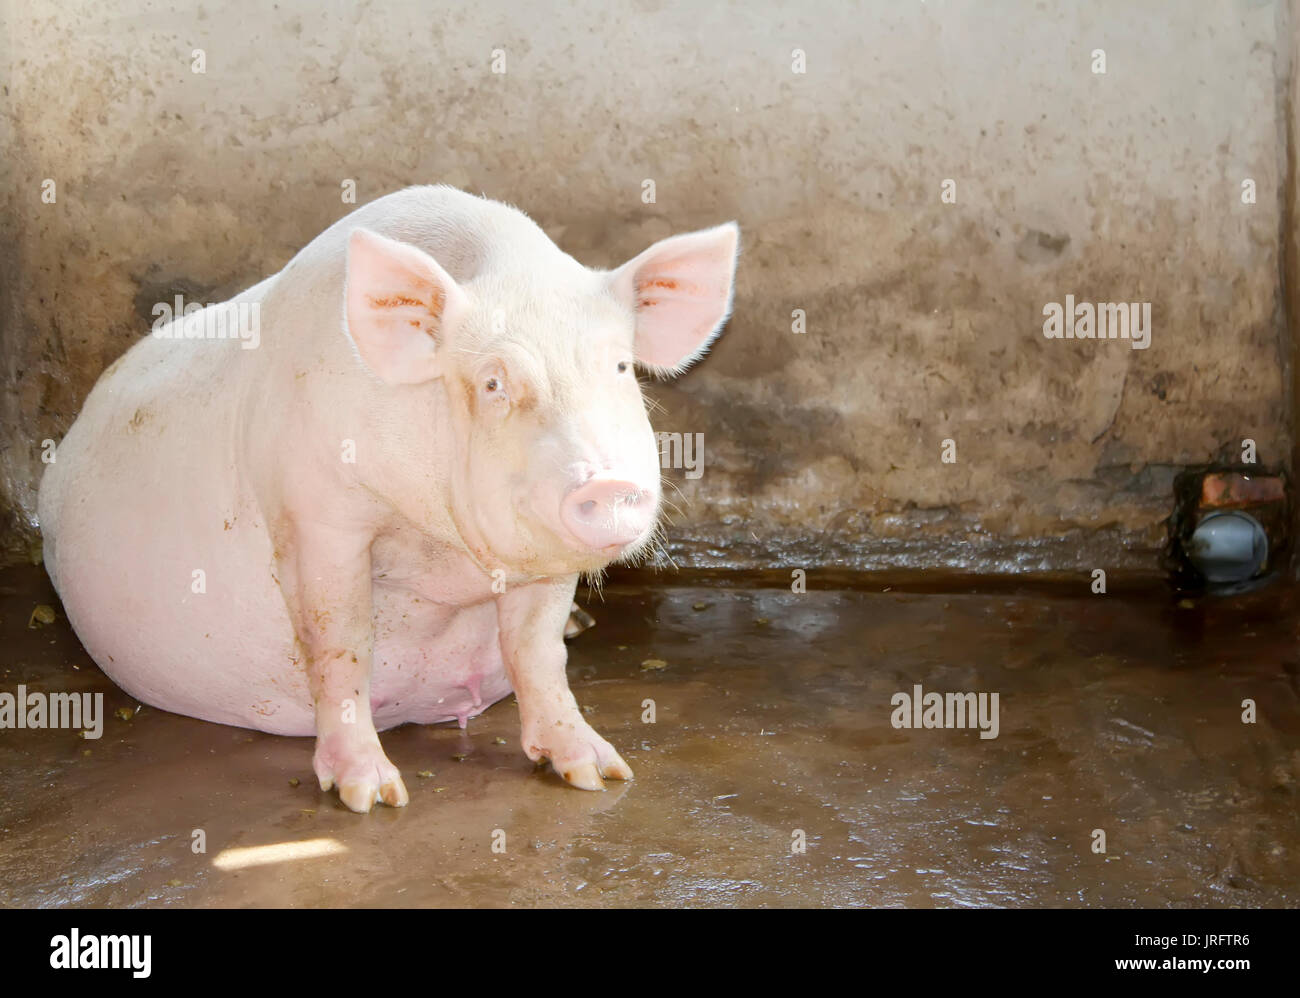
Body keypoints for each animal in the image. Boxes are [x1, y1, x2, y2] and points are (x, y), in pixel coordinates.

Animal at [37, 185, 739, 812]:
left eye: (620, 368)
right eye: (493, 383)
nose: (608, 483)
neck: (445, 551)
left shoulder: (541, 559)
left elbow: (538, 652)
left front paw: (600, 774)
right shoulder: (314, 511)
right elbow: (340, 641)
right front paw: (371, 796)